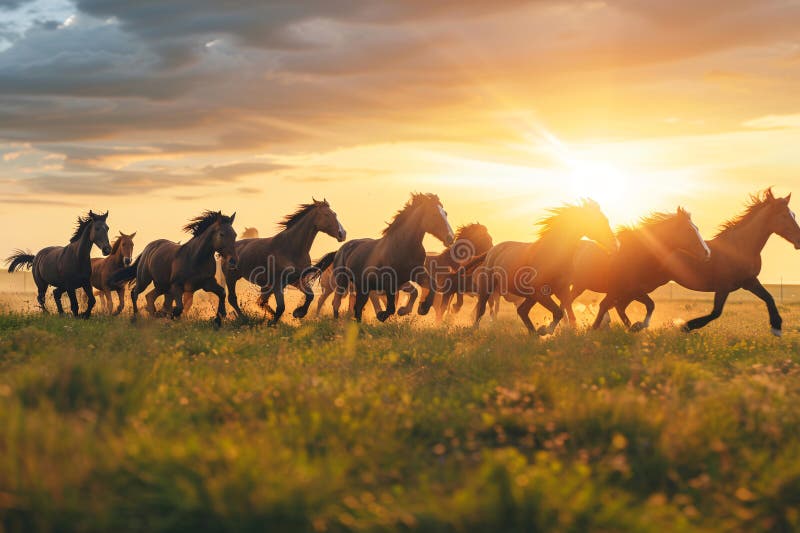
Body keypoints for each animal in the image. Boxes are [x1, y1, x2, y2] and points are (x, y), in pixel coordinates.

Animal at [330, 193, 454, 322]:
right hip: (342, 282)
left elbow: (429, 286)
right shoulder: (389, 282)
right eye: (434, 214)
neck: (404, 246)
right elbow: (391, 307)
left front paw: (421, 308)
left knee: (358, 307)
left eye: (445, 213)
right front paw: (383, 315)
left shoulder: (416, 274)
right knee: (337, 303)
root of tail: (340, 250)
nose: (450, 238)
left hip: (362, 287)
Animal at [473, 199, 618, 334]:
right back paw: (474, 331)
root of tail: (493, 250)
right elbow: (560, 311)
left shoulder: (562, 290)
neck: (552, 257)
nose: (614, 244)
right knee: (481, 309)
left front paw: (546, 330)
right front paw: (545, 330)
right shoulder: (541, 293)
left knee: (522, 310)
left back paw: (533, 334)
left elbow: (564, 311)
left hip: (531, 296)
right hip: (488, 288)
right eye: (599, 221)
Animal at [565, 208, 710, 331]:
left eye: (697, 228)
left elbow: (646, 305)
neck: (637, 255)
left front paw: (635, 327)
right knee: (567, 302)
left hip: (579, 286)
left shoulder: (631, 292)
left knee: (568, 302)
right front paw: (594, 329)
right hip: (578, 286)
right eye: (689, 230)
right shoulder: (625, 291)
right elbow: (607, 306)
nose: (707, 253)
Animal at [662, 189, 800, 336]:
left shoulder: (749, 281)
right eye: (784, 215)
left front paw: (777, 327)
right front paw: (684, 326)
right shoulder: (723, 286)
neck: (739, 247)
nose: (799, 240)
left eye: (794, 214)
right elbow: (716, 312)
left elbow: (769, 298)